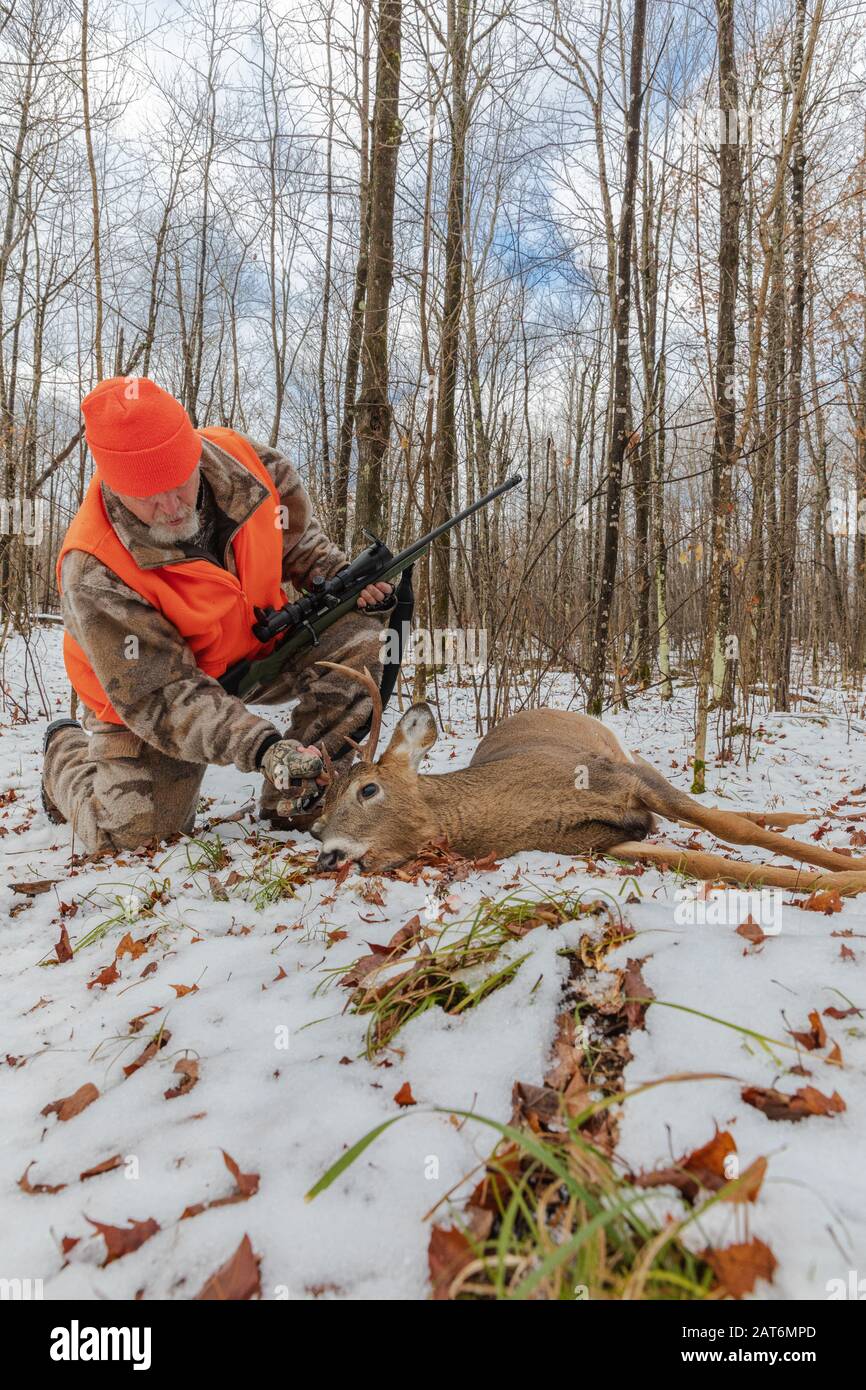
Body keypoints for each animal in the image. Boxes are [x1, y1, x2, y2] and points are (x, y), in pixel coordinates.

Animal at [304, 663, 866, 896]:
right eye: (316, 825)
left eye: (368, 788)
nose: (325, 855)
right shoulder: (598, 843)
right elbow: (713, 863)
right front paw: (842, 879)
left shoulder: (622, 776)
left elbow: (731, 830)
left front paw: (850, 868)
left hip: (625, 750)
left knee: (722, 811)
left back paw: (801, 813)